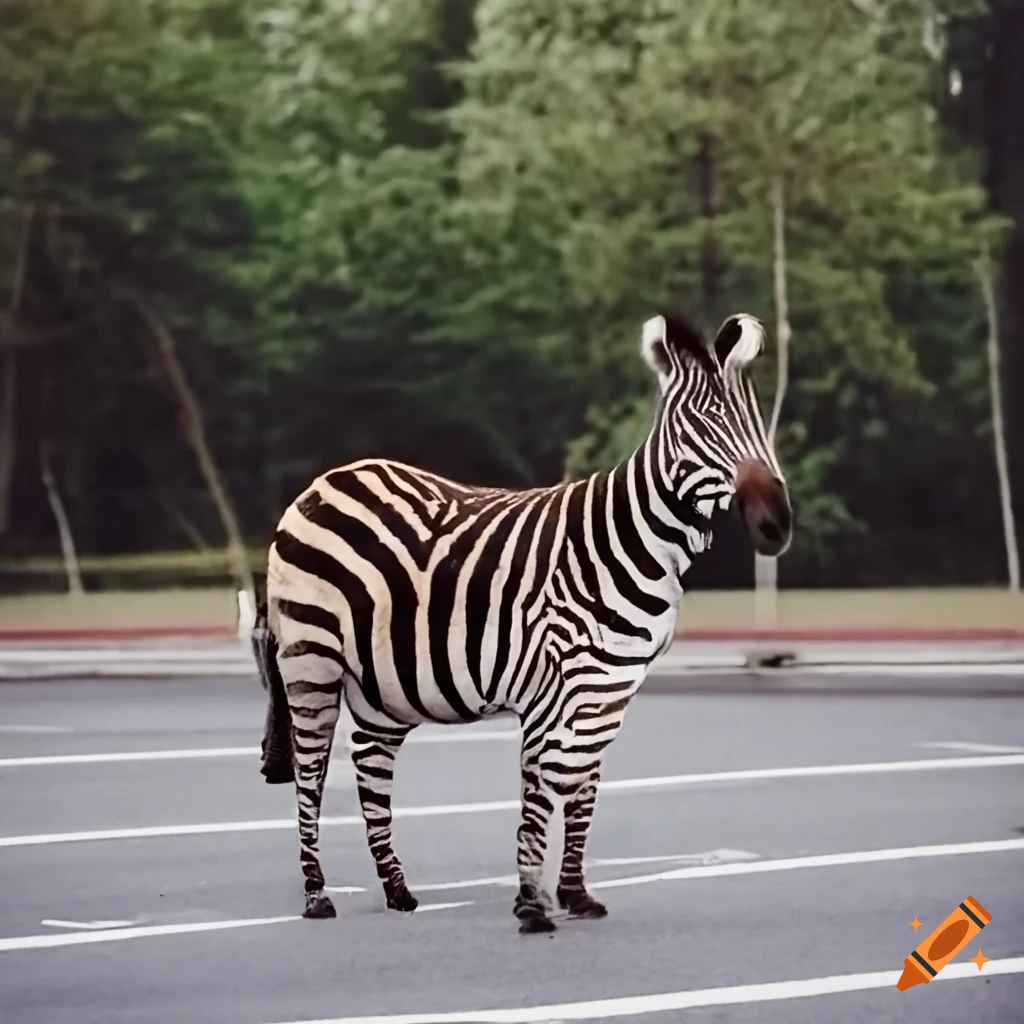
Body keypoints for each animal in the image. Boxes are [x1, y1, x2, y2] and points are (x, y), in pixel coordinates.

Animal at [251, 309, 792, 933]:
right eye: (700, 425)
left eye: (758, 424)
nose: (776, 523)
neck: (633, 543)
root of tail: (329, 478)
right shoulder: (552, 682)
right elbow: (545, 789)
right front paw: (532, 904)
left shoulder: (611, 688)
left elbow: (583, 787)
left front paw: (574, 894)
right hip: (312, 660)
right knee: (312, 773)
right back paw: (317, 896)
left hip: (383, 685)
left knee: (369, 768)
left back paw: (397, 890)